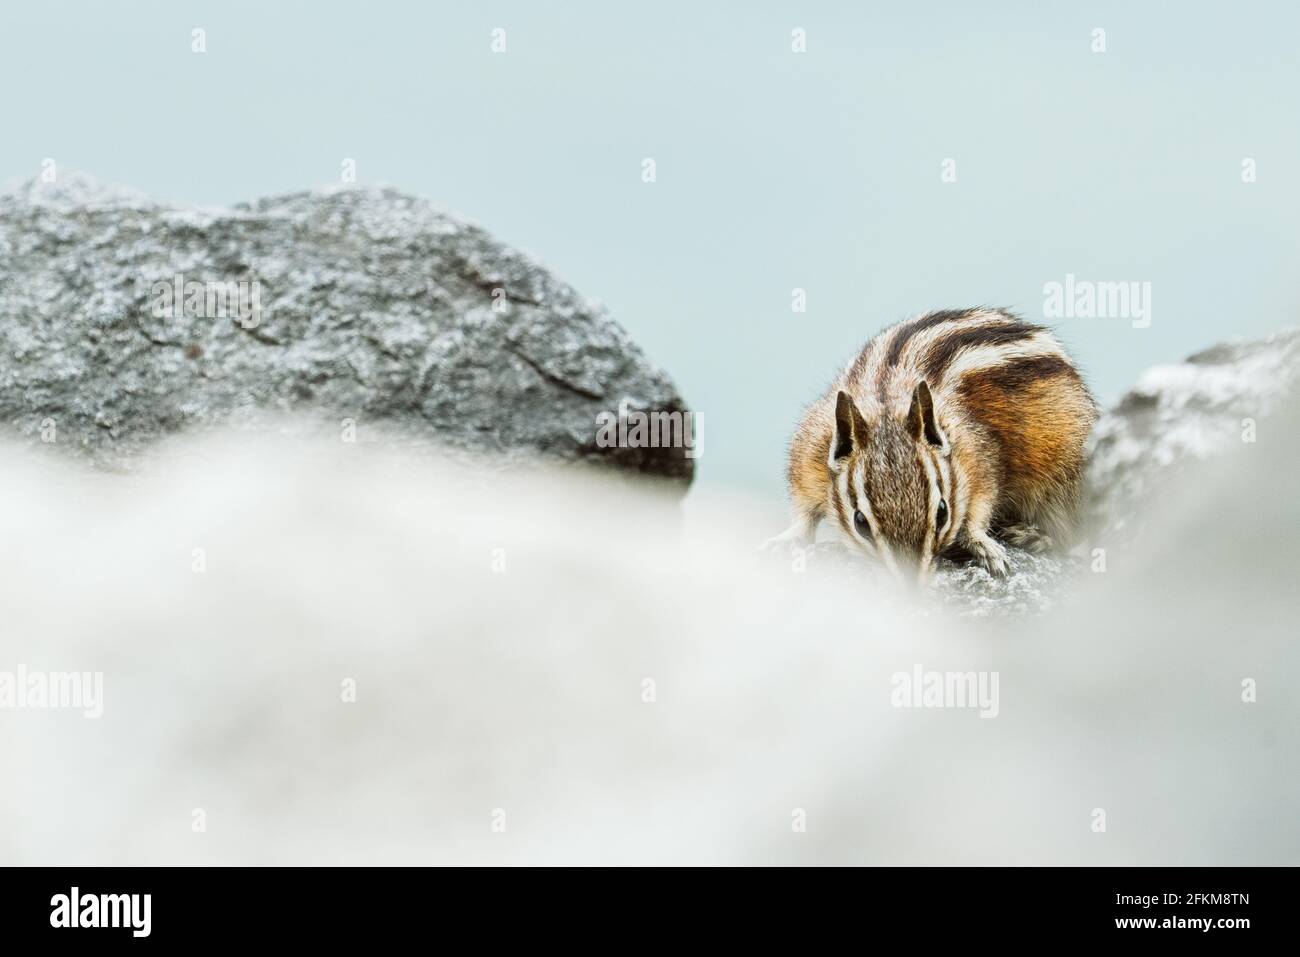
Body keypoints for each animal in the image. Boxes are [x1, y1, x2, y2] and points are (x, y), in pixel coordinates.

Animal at [764, 308, 1097, 582]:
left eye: (942, 513)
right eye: (860, 523)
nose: (912, 584)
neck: (887, 401)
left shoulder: (978, 459)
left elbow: (978, 508)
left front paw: (982, 544)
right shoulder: (808, 453)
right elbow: (804, 510)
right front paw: (787, 538)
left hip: (1067, 482)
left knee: (1071, 532)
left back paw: (1033, 535)